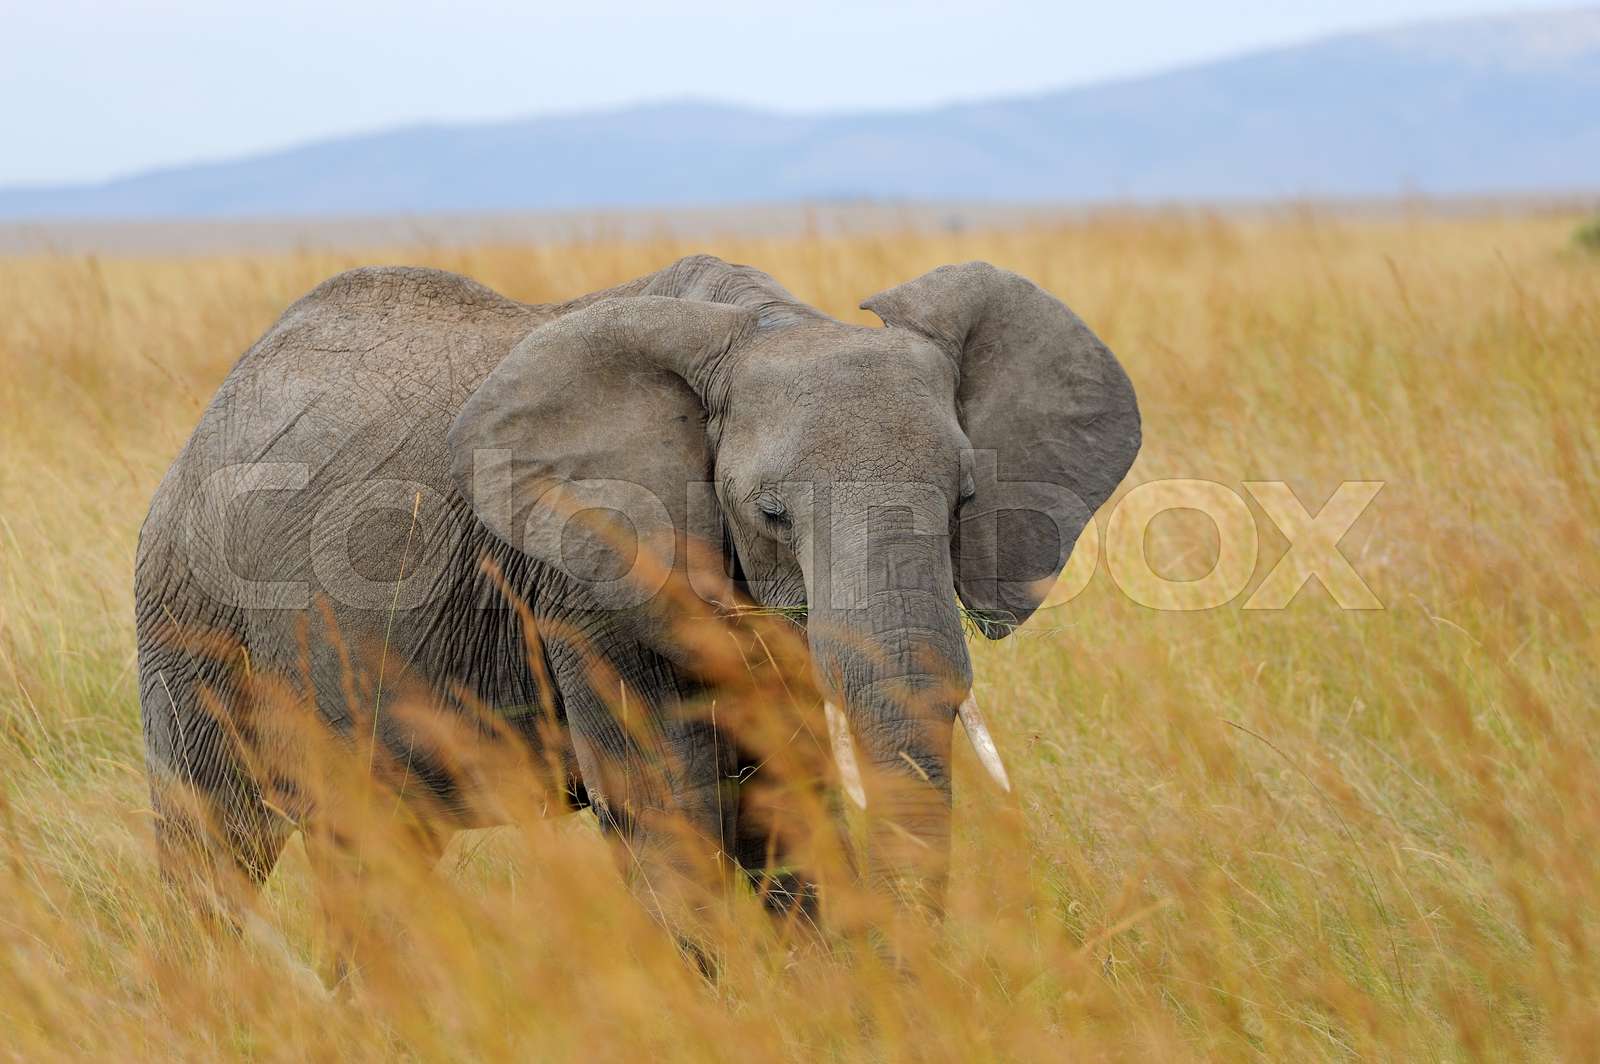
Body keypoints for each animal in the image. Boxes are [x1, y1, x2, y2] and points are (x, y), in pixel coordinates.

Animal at [134, 253, 1139, 939]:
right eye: (771, 513)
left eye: (966, 500)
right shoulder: (581, 583)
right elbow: (667, 809)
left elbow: (788, 805)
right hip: (188, 609)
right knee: (214, 842)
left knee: (374, 847)